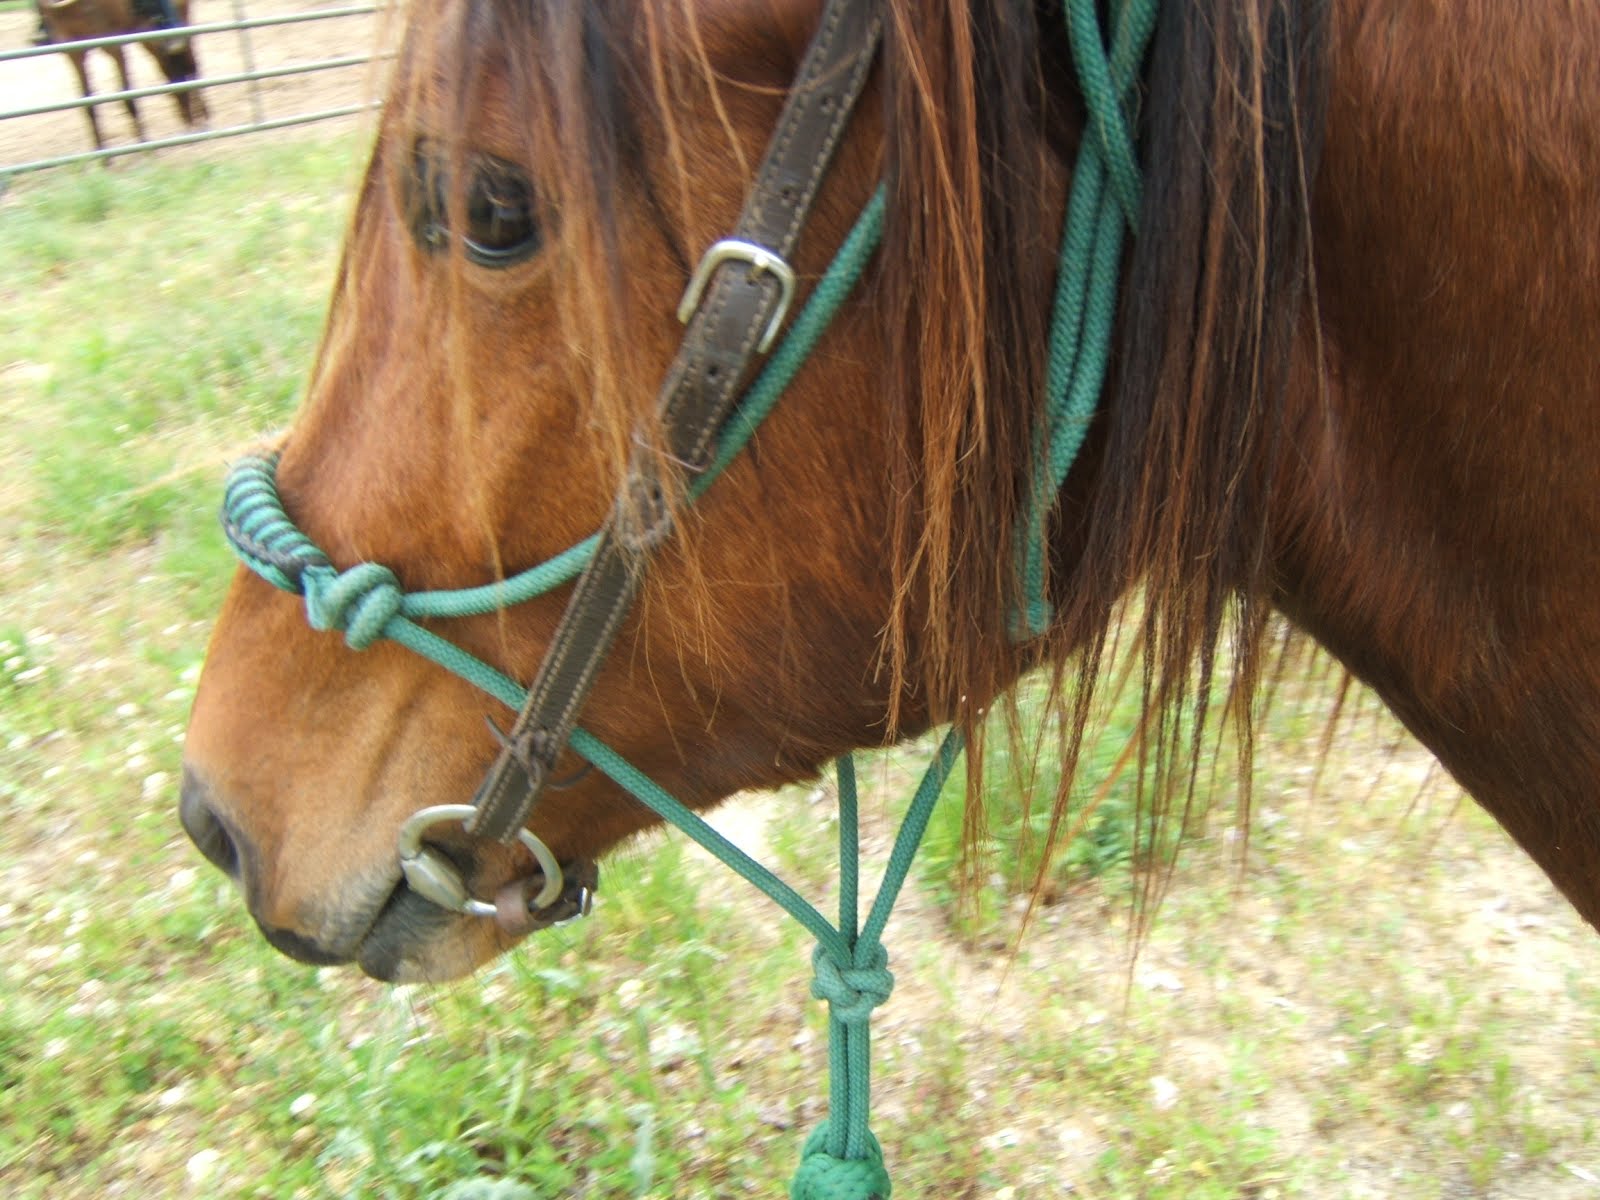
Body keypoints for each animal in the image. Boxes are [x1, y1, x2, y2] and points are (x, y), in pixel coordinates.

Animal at [37, 0, 208, 152]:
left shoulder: (114, 45)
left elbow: (127, 95)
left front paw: (143, 145)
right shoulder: (74, 53)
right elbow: (88, 102)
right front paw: (103, 155)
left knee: (188, 68)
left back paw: (200, 121)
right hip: (151, 36)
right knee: (175, 72)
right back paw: (190, 122)